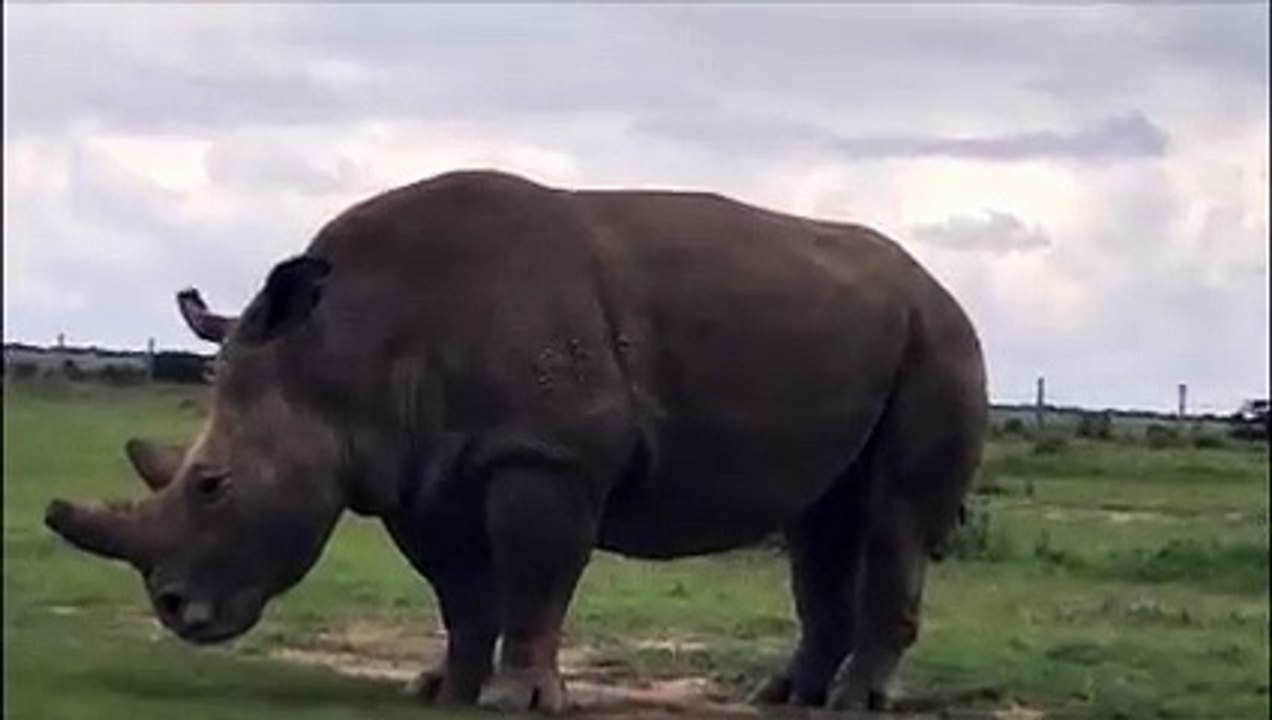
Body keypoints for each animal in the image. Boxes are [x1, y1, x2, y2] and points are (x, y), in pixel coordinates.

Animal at [45, 169, 987, 713]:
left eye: (212, 484)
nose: (176, 612)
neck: (339, 350)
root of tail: (940, 283)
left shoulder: (546, 454)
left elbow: (535, 577)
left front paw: (520, 700)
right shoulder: (415, 471)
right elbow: (460, 592)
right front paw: (443, 690)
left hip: (940, 339)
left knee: (894, 518)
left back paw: (855, 703)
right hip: (869, 329)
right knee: (818, 523)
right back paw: (785, 698)